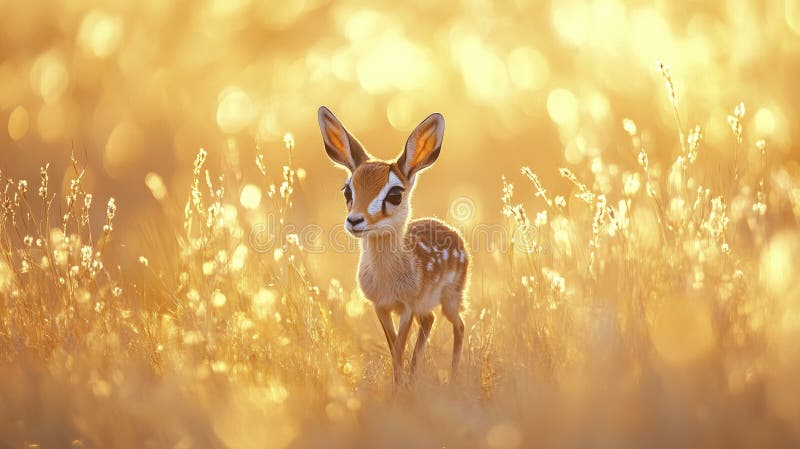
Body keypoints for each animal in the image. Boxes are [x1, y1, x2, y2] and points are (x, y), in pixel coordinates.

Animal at [317, 106, 470, 386]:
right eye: (347, 191)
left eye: (395, 194)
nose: (355, 220)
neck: (387, 276)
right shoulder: (381, 306)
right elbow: (393, 347)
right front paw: (401, 384)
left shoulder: (407, 306)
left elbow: (399, 347)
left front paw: (399, 389)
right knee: (430, 321)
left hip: (451, 297)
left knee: (459, 325)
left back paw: (453, 378)